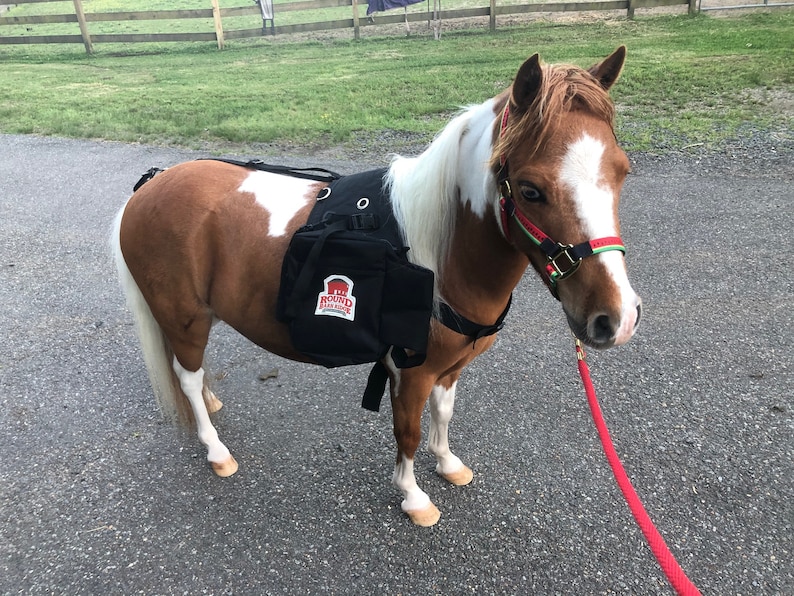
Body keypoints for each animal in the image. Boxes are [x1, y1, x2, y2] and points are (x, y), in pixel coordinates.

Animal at [111, 47, 641, 527]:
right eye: (530, 190)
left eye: (622, 171)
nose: (615, 318)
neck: (435, 253)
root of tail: (149, 188)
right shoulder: (410, 372)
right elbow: (408, 433)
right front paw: (413, 496)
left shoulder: (451, 368)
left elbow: (443, 414)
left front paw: (447, 463)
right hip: (184, 316)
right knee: (186, 376)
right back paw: (215, 448)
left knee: (192, 375)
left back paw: (210, 403)